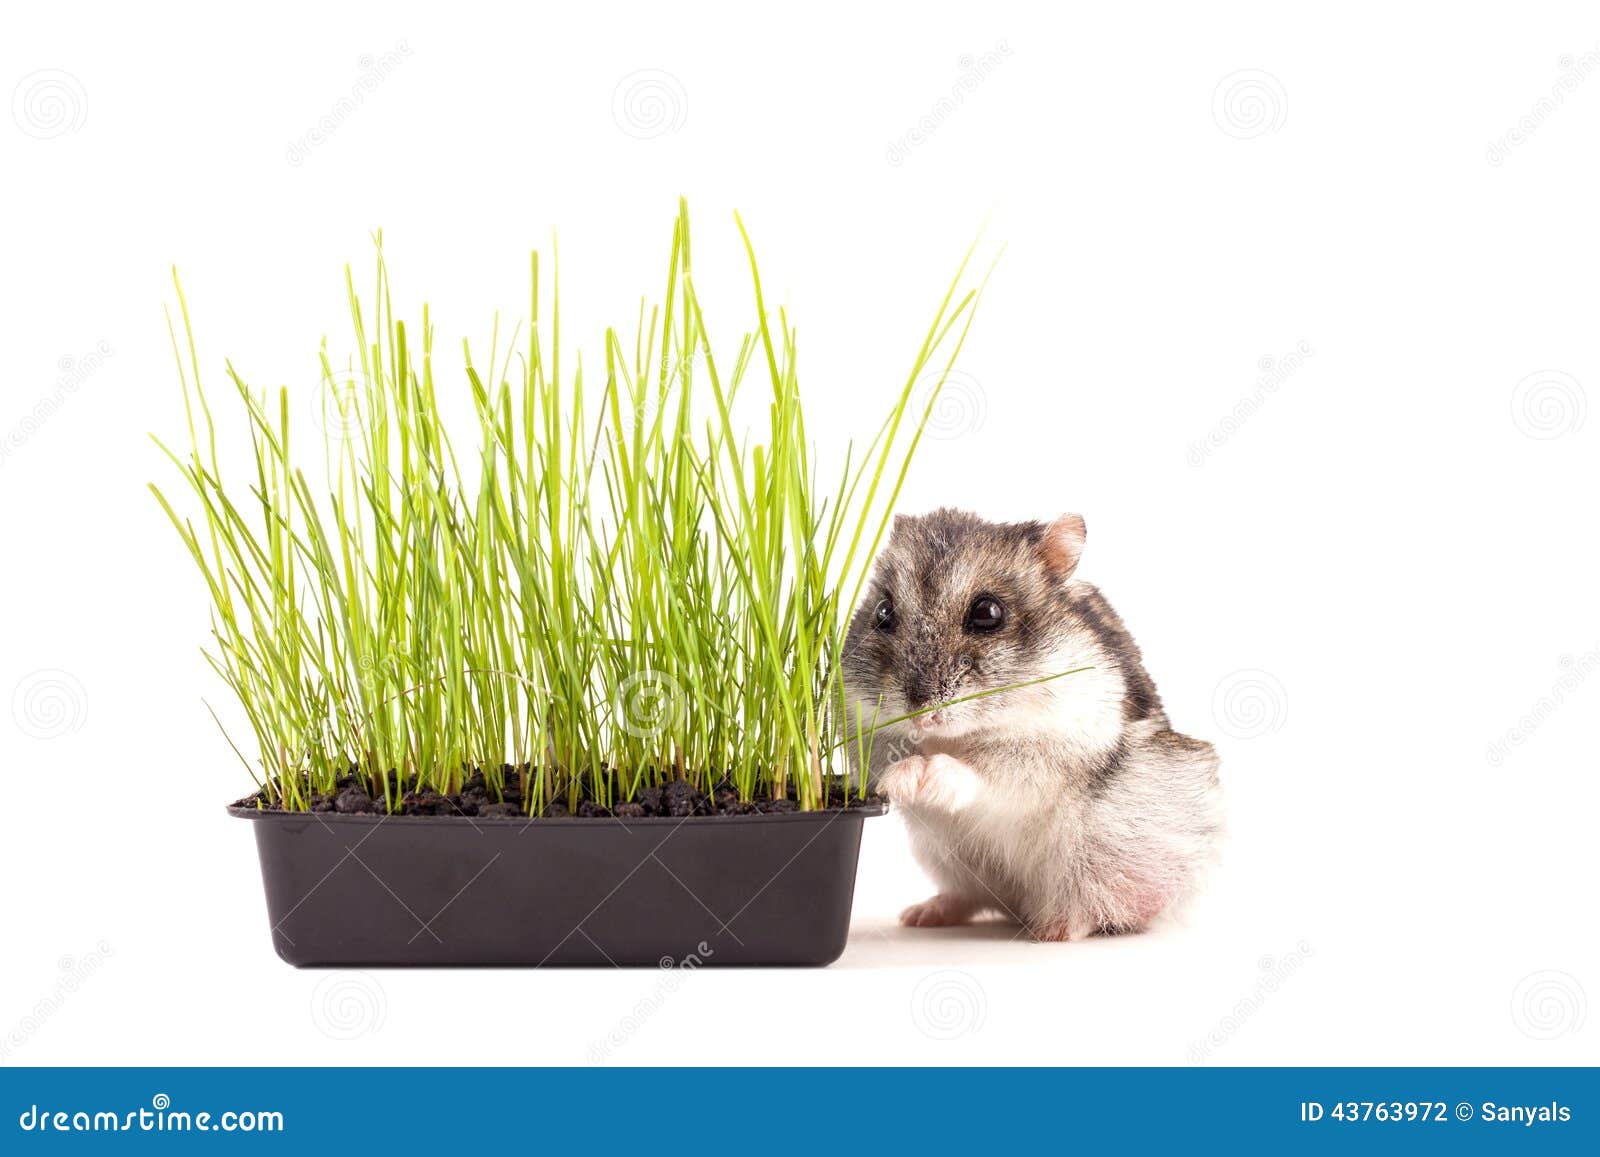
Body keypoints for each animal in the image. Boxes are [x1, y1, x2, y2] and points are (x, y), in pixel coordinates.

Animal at [842, 508, 1222, 941]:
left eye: (988, 613)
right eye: (882, 612)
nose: (924, 715)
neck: (957, 736)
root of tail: (1020, 908)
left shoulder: (1056, 747)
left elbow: (992, 768)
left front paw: (933, 776)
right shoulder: (860, 727)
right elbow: (886, 759)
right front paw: (905, 779)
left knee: (1096, 909)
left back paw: (1053, 928)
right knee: (970, 897)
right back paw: (920, 915)